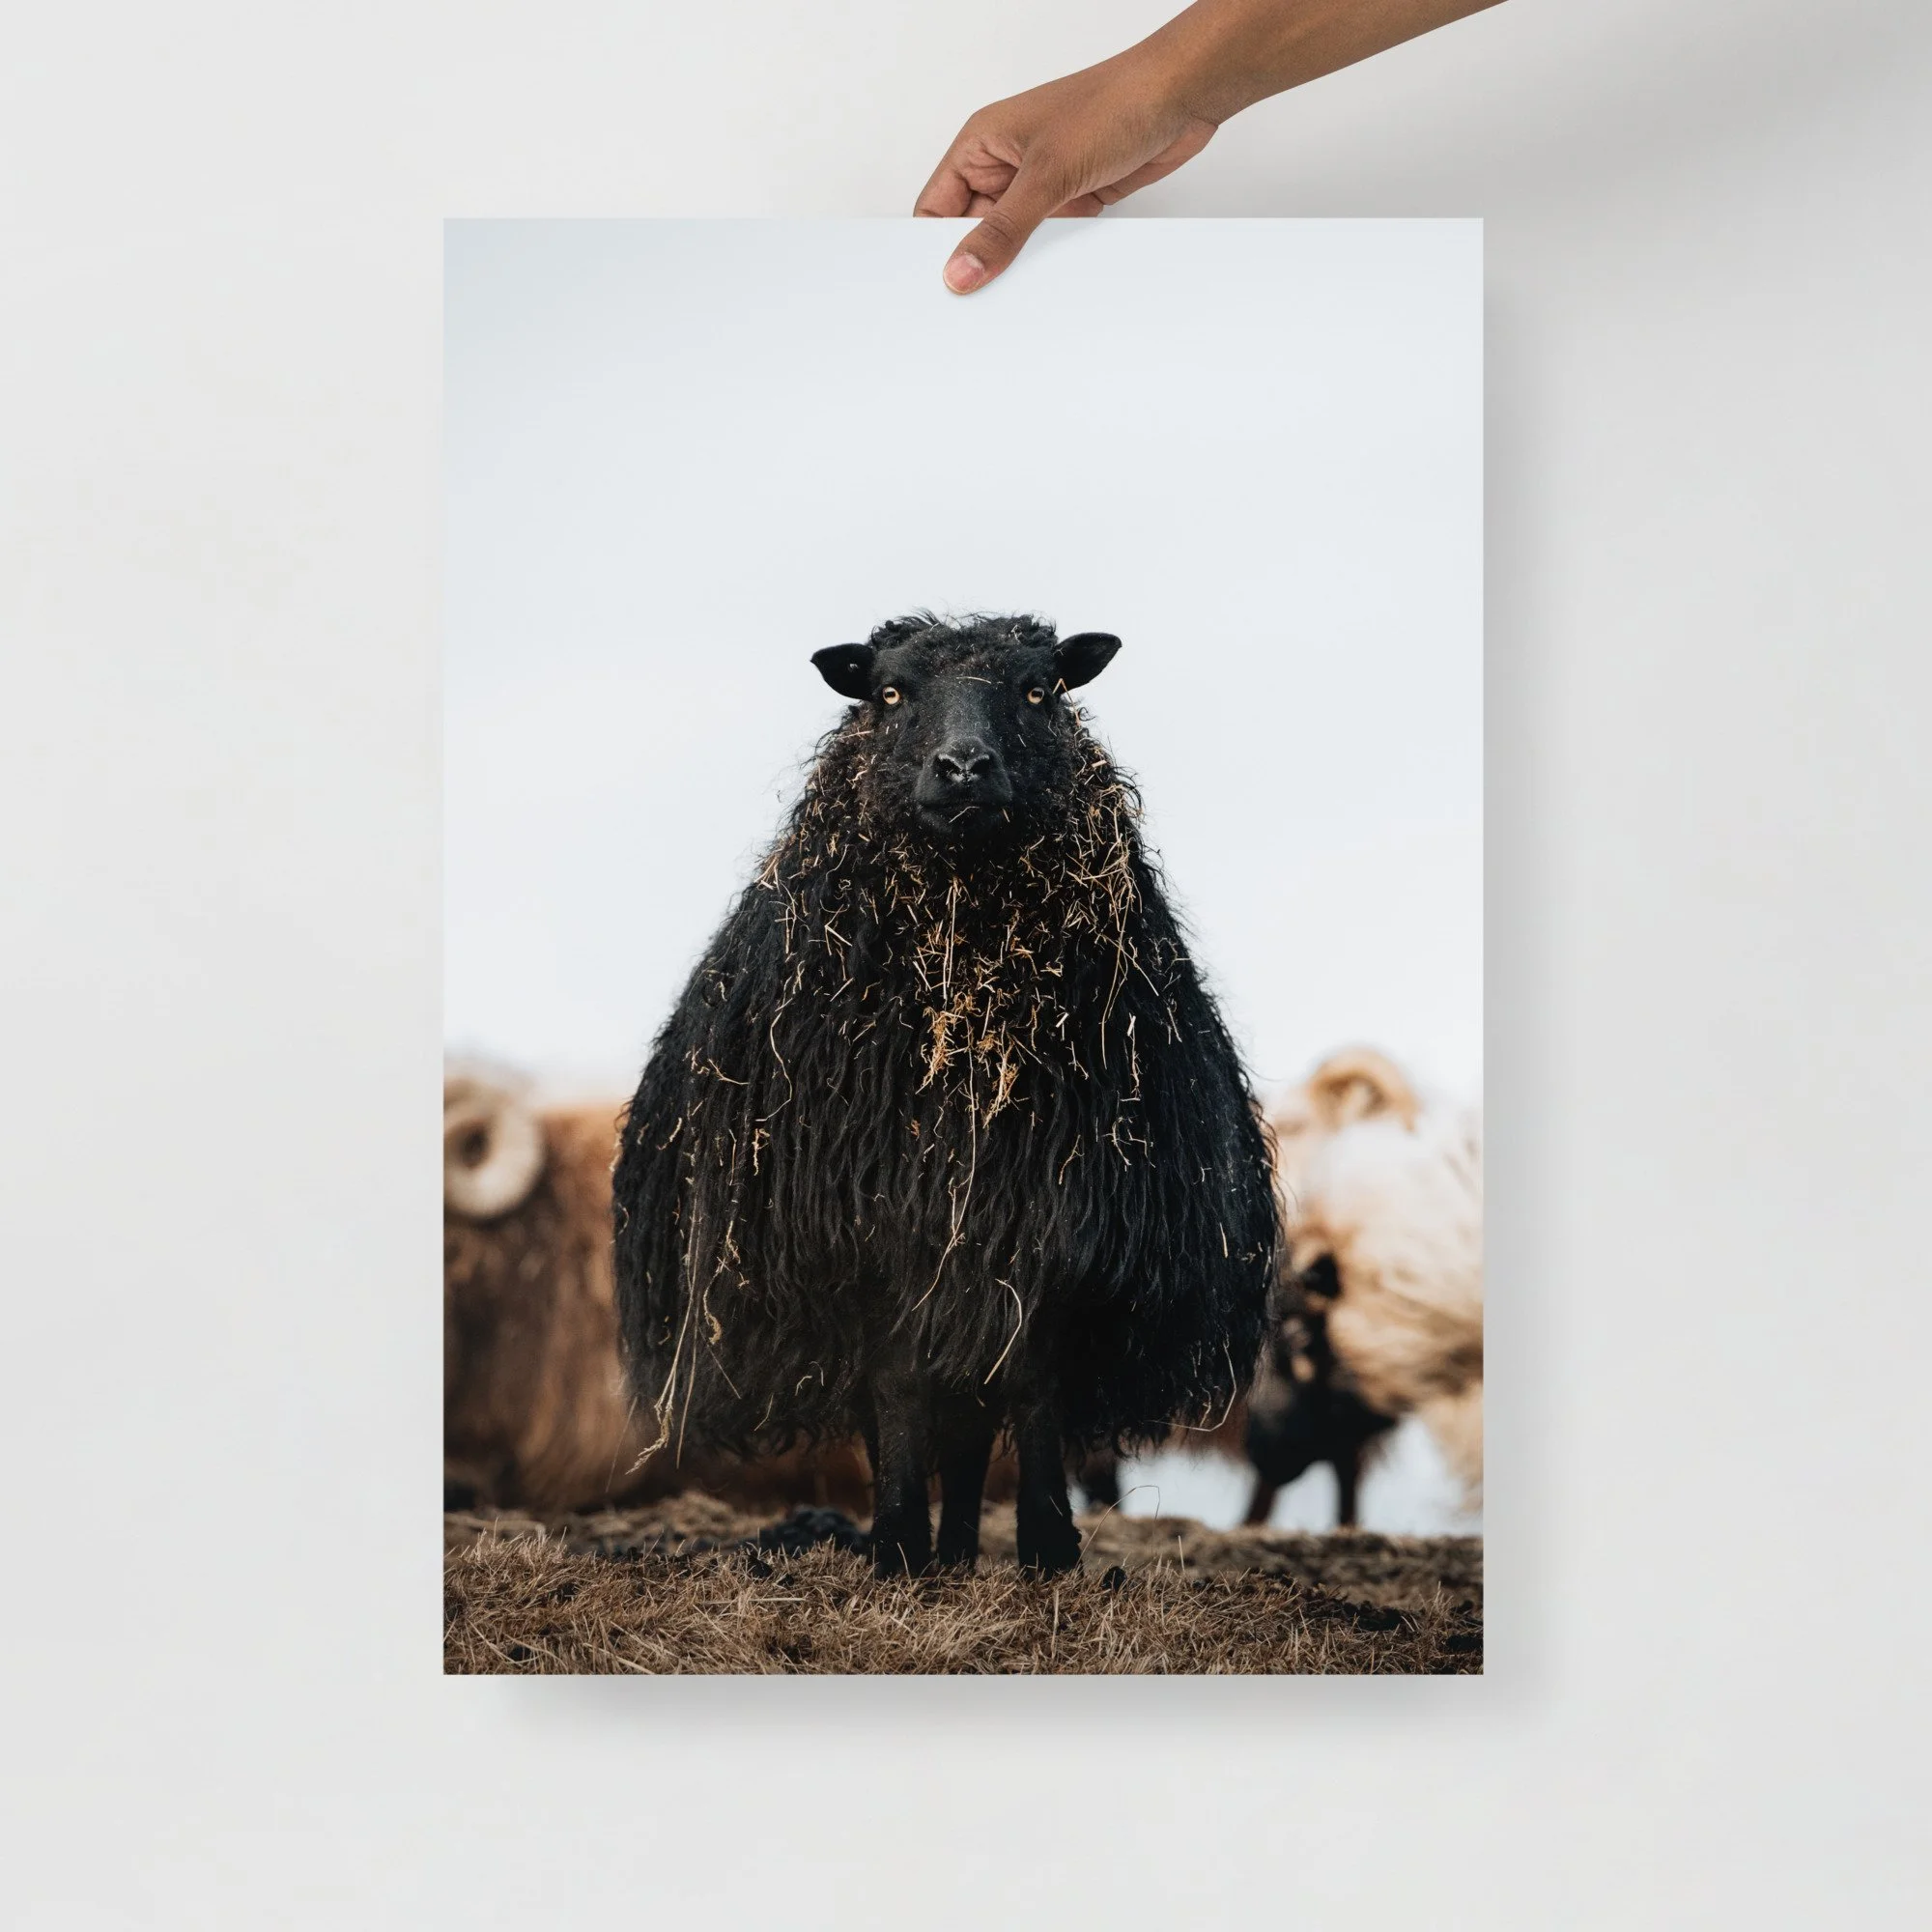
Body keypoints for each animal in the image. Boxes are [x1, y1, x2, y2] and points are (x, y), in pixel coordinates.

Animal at [613, 614, 1278, 1575]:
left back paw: (962, 1550)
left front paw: (1048, 1547)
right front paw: (895, 1543)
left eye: (1040, 689)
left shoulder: (1047, 1225)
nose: (964, 767)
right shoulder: (870, 1235)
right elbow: (895, 1390)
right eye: (889, 692)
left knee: (971, 1417)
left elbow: (1033, 1384)